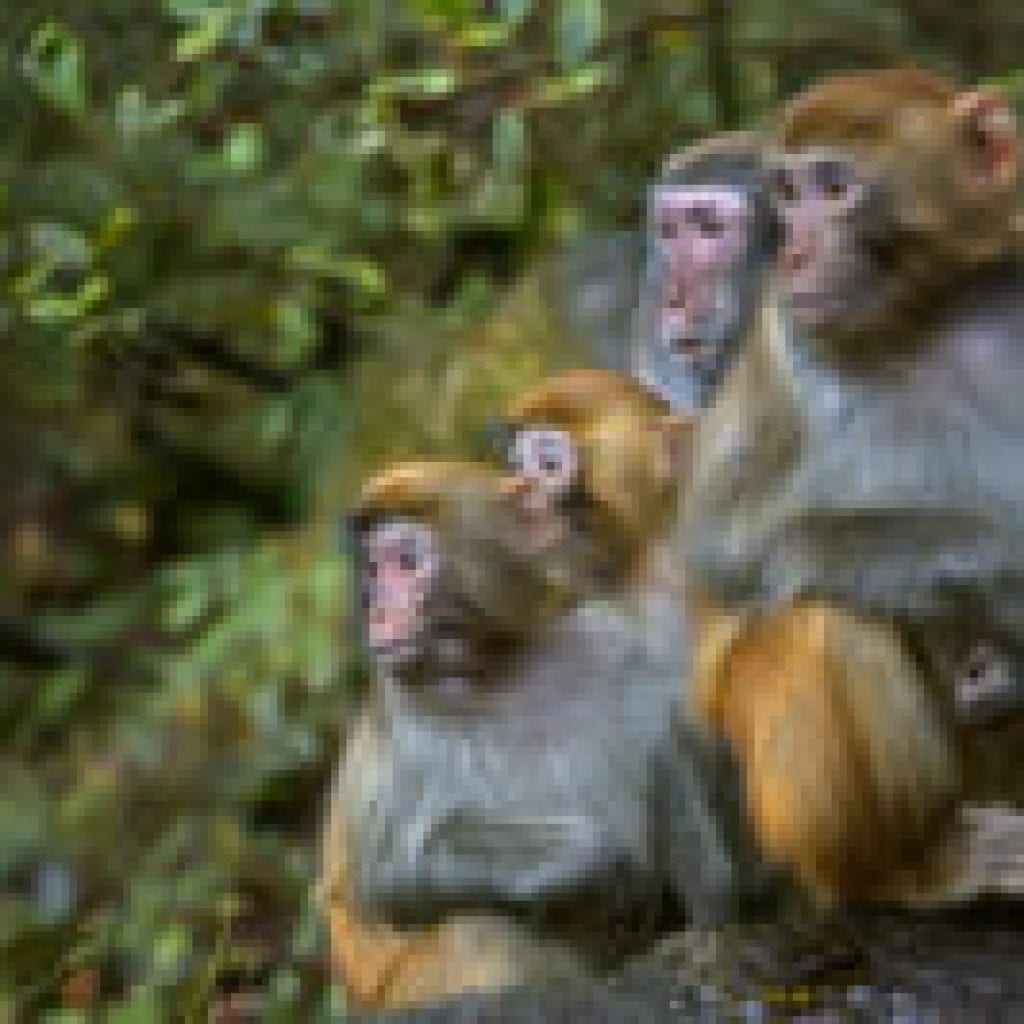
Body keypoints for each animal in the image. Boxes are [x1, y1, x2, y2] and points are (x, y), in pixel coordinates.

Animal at [678, 68, 1024, 908]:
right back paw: (916, 869)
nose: (796, 252)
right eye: (787, 192)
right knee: (822, 614)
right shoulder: (782, 347)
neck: (929, 315)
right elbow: (734, 550)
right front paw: (1008, 578)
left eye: (834, 187)